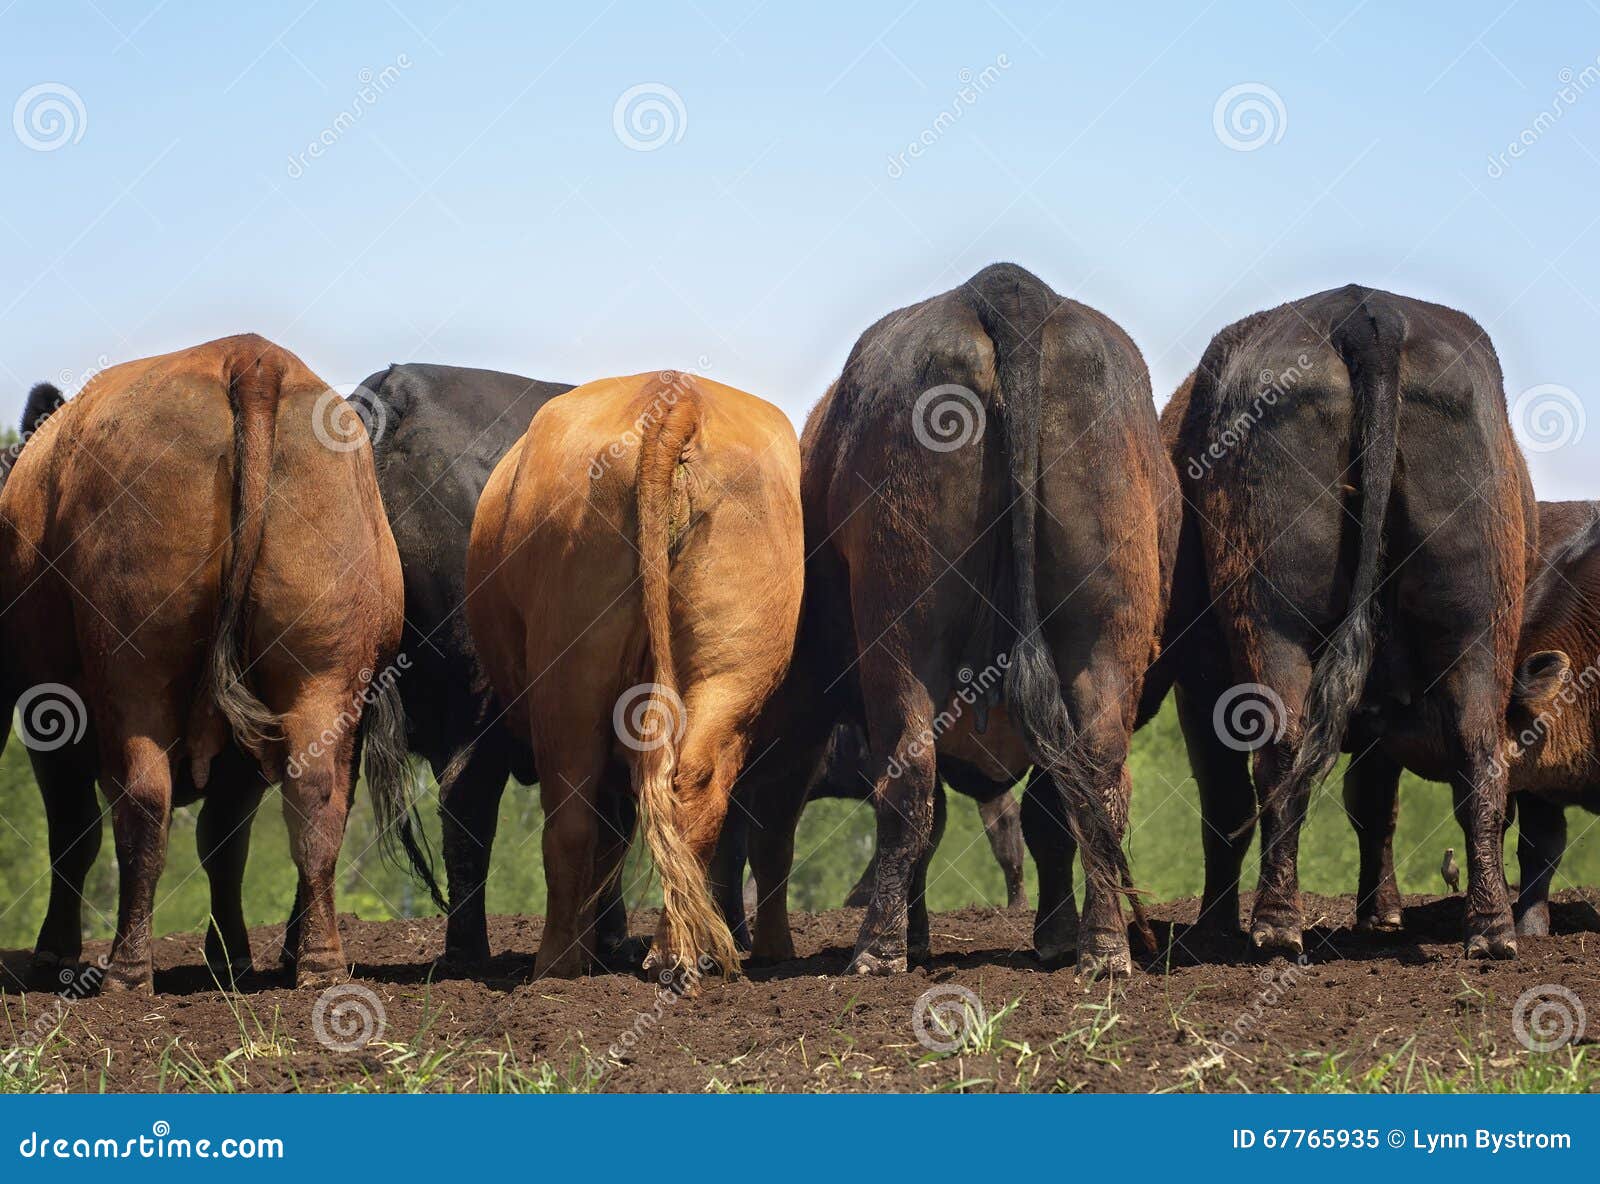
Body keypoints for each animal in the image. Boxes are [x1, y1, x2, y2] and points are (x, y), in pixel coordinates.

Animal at [0, 335, 435, 991]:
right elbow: (224, 843)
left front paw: (55, 952)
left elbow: (75, 833)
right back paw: (319, 964)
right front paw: (230, 955)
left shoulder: (48, 715)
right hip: (321, 679)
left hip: (135, 673)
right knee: (315, 804)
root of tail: (250, 359)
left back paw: (128, 971)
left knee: (143, 802)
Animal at [465, 370, 804, 978]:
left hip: (568, 680)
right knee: (692, 793)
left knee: (571, 817)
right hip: (730, 669)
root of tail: (678, 398)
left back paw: (558, 963)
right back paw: (674, 952)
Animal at [724, 262, 1179, 977]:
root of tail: (1010, 289)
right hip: (1103, 638)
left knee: (909, 786)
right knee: (1099, 780)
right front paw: (1054, 935)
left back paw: (878, 949)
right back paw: (1104, 948)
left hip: (903, 636)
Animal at [1154, 286, 1536, 960]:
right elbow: (1375, 805)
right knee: (1479, 755)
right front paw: (1380, 915)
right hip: (1477, 627)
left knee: (1280, 752)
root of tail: (1367, 313)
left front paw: (1213, 927)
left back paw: (1276, 922)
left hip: (1271, 623)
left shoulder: (1197, 686)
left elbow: (1225, 801)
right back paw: (1491, 928)